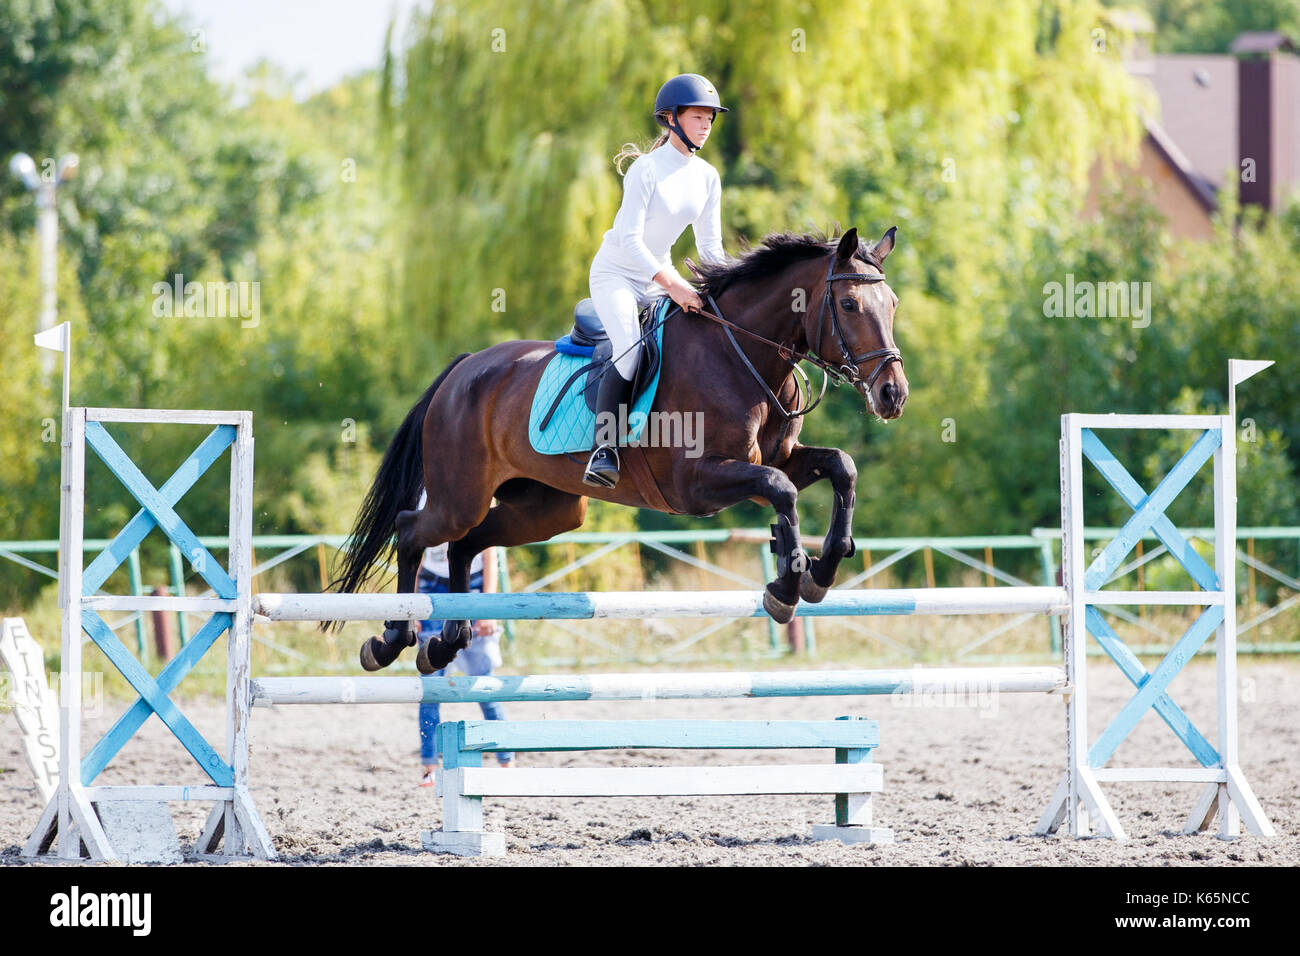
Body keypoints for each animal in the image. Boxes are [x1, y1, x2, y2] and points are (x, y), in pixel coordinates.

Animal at [329, 226, 909, 673]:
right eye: (849, 304)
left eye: (894, 305)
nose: (893, 394)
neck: (741, 352)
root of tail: (464, 368)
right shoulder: (696, 485)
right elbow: (781, 489)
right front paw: (786, 589)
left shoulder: (776, 456)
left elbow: (840, 467)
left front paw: (823, 573)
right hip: (460, 496)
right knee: (413, 530)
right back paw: (392, 641)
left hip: (548, 509)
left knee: (464, 546)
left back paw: (446, 643)